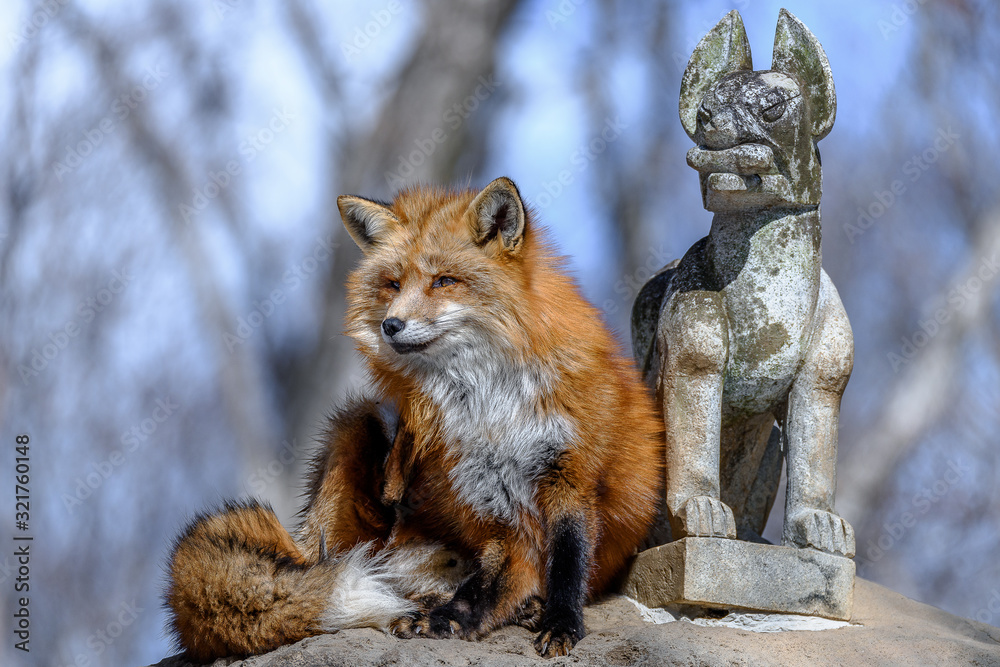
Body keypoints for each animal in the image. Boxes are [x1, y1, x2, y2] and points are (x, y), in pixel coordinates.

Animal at [165, 176, 664, 661]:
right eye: (392, 284)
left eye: (444, 281)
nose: (391, 325)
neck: (489, 406)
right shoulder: (494, 506)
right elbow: (487, 585)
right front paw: (452, 619)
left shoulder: (570, 475)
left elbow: (568, 561)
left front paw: (561, 623)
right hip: (362, 424)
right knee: (332, 563)